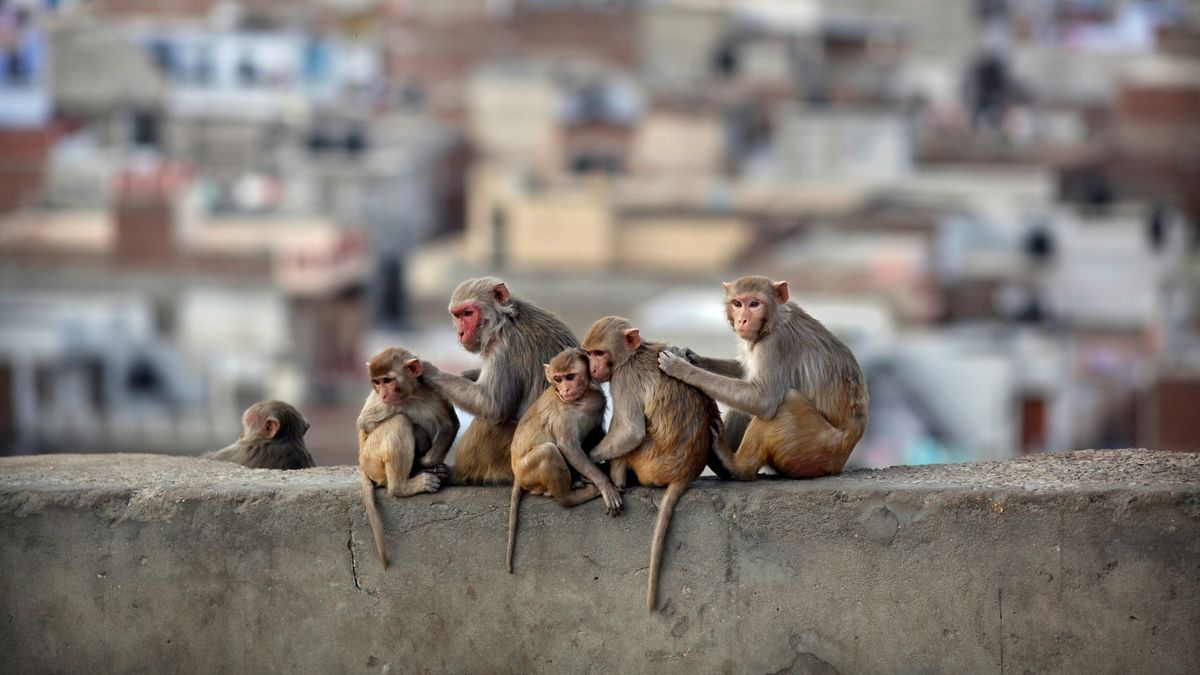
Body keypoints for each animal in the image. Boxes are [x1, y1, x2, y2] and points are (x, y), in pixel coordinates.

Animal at [357, 347, 459, 568]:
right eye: (377, 382)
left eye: (387, 380)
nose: (383, 393)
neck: (412, 395)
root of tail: (363, 466)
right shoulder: (382, 404)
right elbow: (365, 423)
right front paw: (420, 439)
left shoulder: (436, 389)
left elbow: (450, 424)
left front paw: (430, 464)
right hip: (371, 457)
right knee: (400, 421)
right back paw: (403, 486)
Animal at [420, 277, 578, 485]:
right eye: (457, 315)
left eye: (468, 313)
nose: (460, 333)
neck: (503, 322)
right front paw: (463, 375)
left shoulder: (503, 348)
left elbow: (492, 406)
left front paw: (430, 373)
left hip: (521, 461)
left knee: (489, 422)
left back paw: (457, 474)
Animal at [506, 348, 622, 573]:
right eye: (557, 379)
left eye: (570, 377)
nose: (565, 389)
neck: (581, 400)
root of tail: (516, 474)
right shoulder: (562, 414)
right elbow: (567, 447)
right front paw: (604, 484)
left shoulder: (598, 401)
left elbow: (595, 433)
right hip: (527, 471)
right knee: (549, 451)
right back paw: (571, 496)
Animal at [581, 316, 721, 611]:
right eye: (589, 354)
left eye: (600, 353)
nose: (593, 368)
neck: (631, 355)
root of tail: (688, 470)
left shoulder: (623, 379)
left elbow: (631, 431)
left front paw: (589, 460)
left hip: (651, 463)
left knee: (630, 441)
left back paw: (618, 483)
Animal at [657, 276, 868, 480]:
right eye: (737, 303)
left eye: (754, 304)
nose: (742, 320)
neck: (774, 321)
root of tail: (839, 461)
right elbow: (744, 371)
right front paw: (691, 356)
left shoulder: (774, 344)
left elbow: (762, 400)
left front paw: (682, 368)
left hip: (814, 449)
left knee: (785, 401)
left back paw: (734, 465)